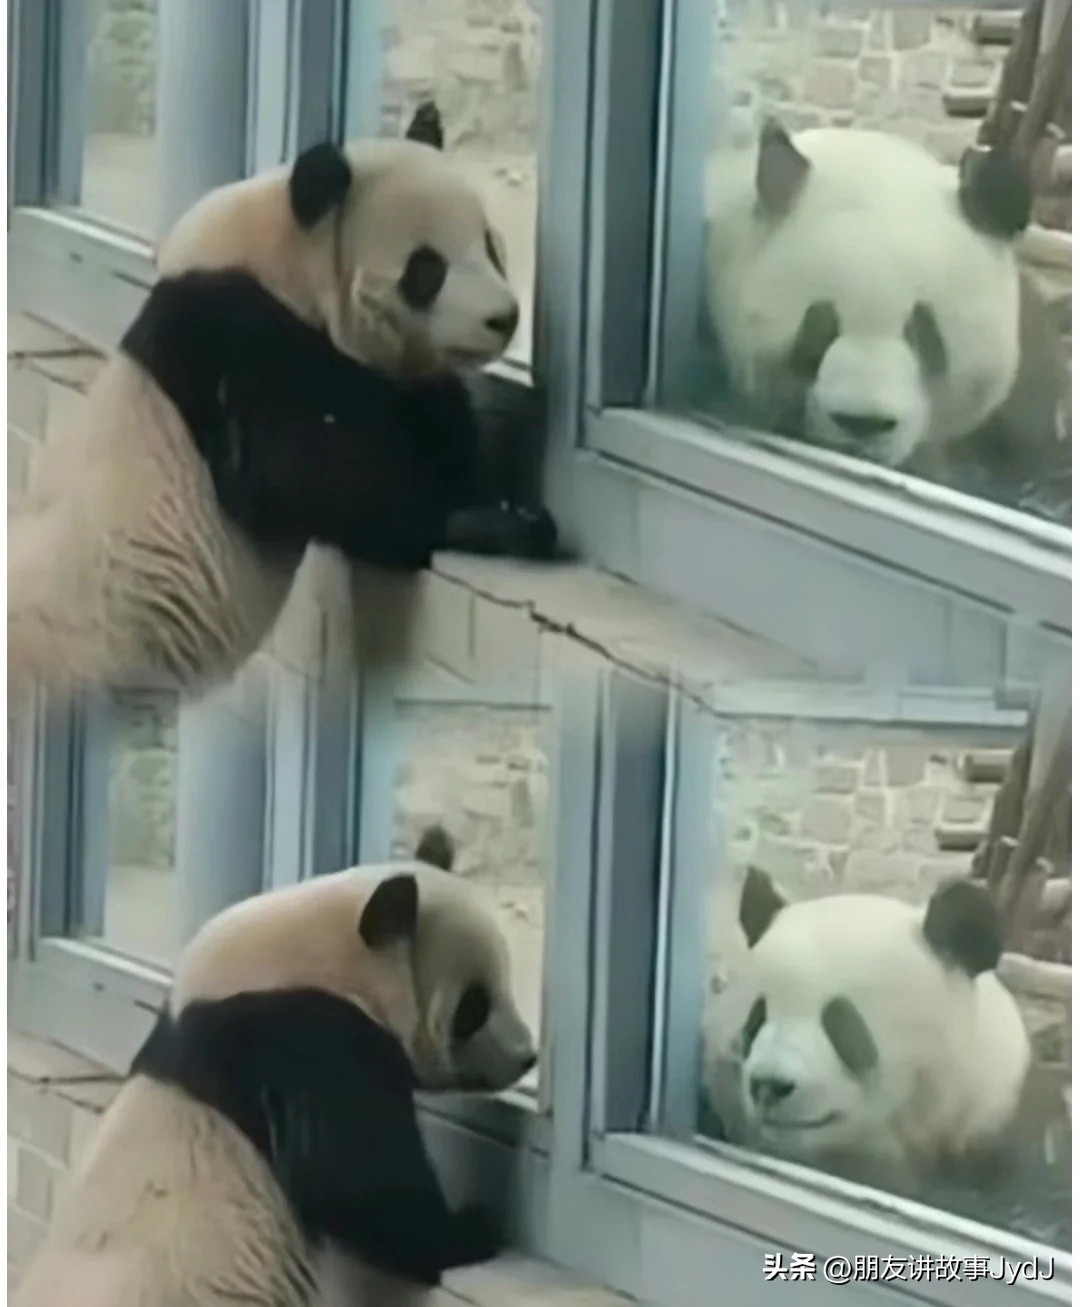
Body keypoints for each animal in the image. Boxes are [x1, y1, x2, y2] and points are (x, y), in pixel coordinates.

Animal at [8, 102, 558, 704]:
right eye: (426, 269)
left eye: (490, 245)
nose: (503, 317)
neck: (274, 253)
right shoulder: (237, 339)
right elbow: (306, 478)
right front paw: (503, 521)